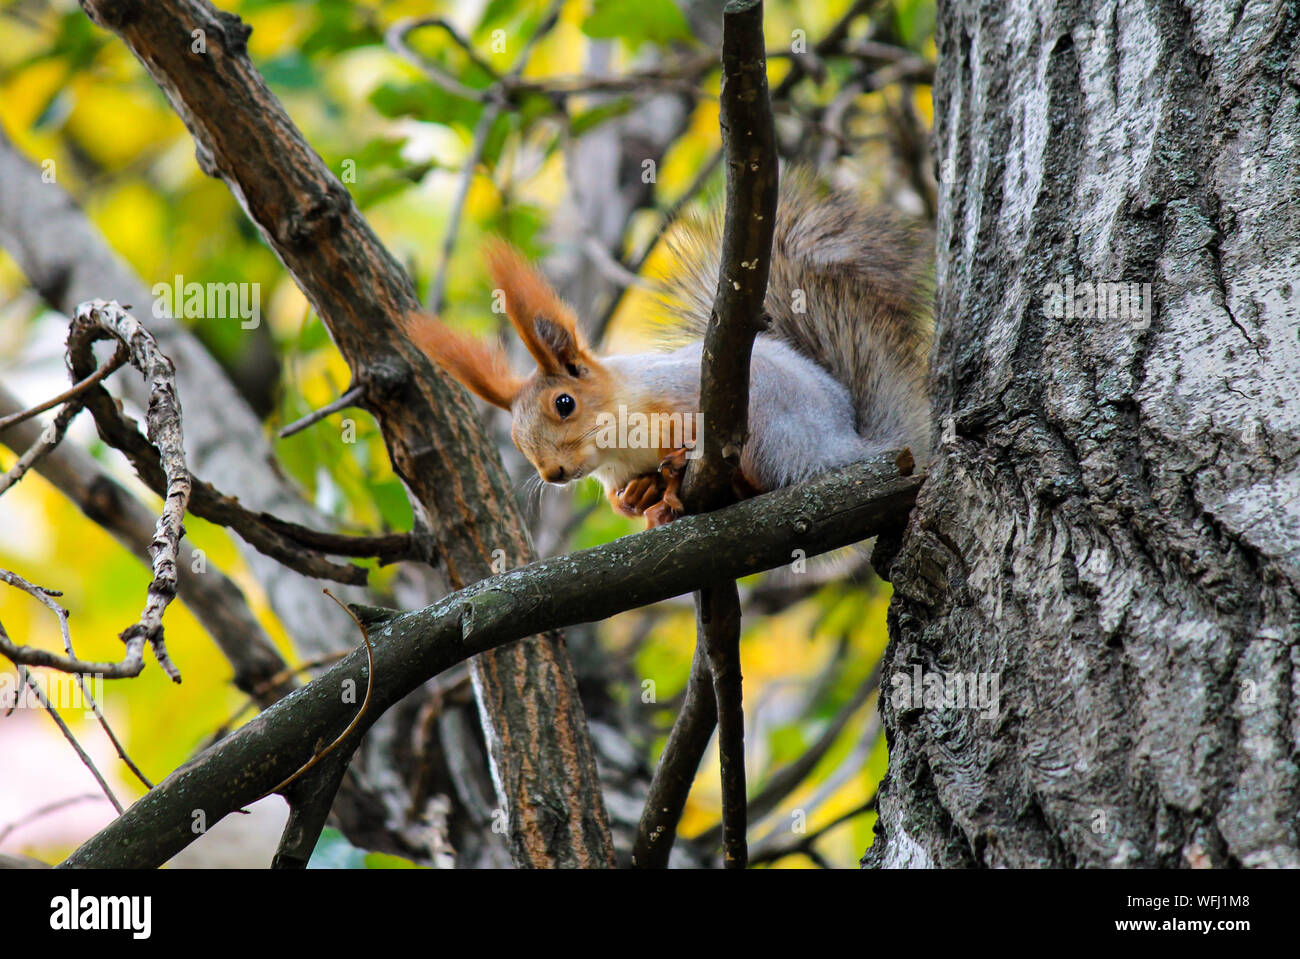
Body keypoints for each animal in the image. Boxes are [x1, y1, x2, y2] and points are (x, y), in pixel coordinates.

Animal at [404, 168, 932, 528]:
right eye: (514, 439)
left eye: (564, 403)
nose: (553, 473)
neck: (617, 447)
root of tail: (844, 446)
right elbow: (621, 496)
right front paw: (635, 498)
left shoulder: (679, 394)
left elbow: (688, 429)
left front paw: (674, 467)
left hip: (771, 425)